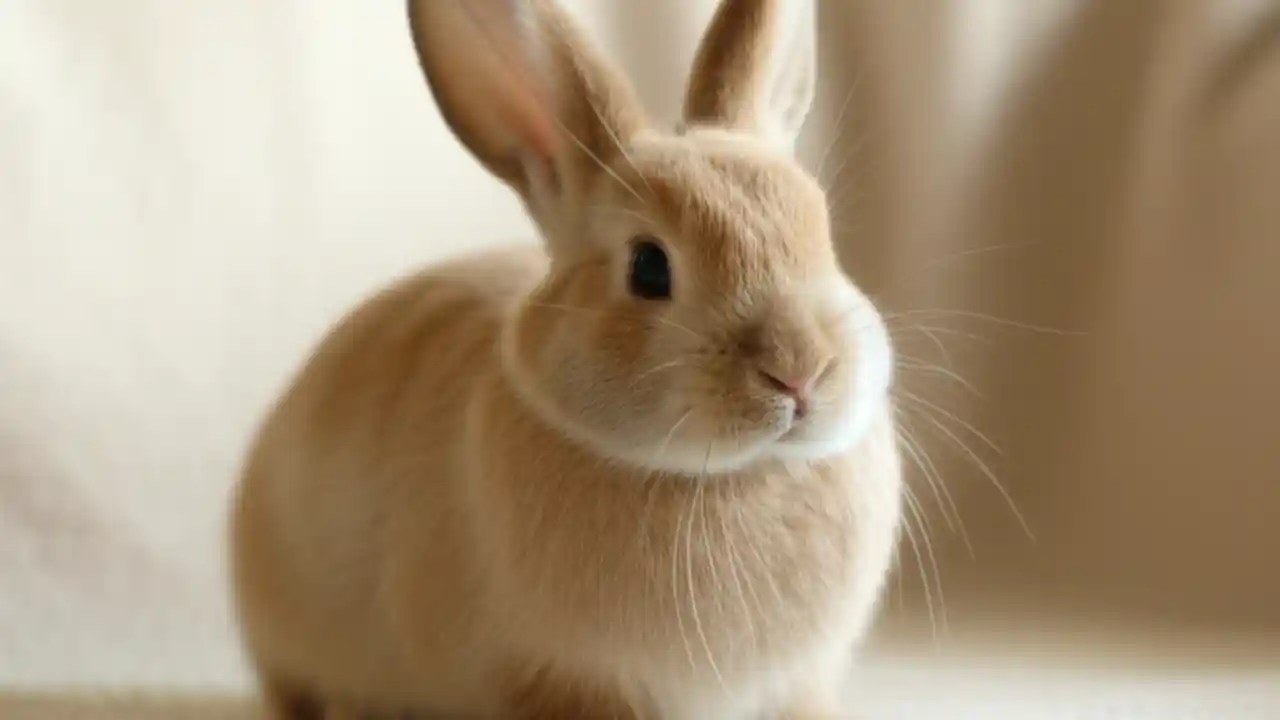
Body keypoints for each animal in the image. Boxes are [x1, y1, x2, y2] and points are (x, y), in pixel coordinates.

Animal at [230, 0, 902, 718]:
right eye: (648, 267)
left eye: (823, 232)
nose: (800, 369)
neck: (736, 476)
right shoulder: (564, 682)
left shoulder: (799, 682)